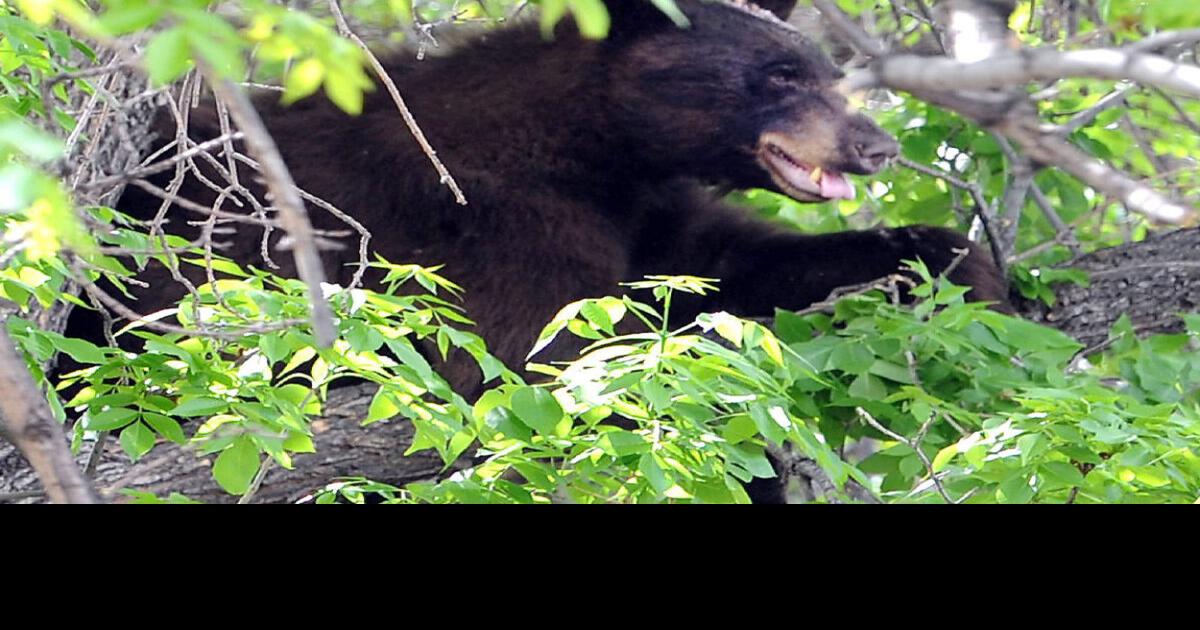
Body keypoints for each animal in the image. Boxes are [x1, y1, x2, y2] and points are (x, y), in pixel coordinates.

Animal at [73, 0, 1008, 502]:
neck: (597, 148)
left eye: (822, 70)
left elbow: (731, 271)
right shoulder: (499, 213)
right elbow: (539, 353)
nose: (876, 146)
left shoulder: (652, 214)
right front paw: (756, 470)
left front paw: (961, 265)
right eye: (781, 74)